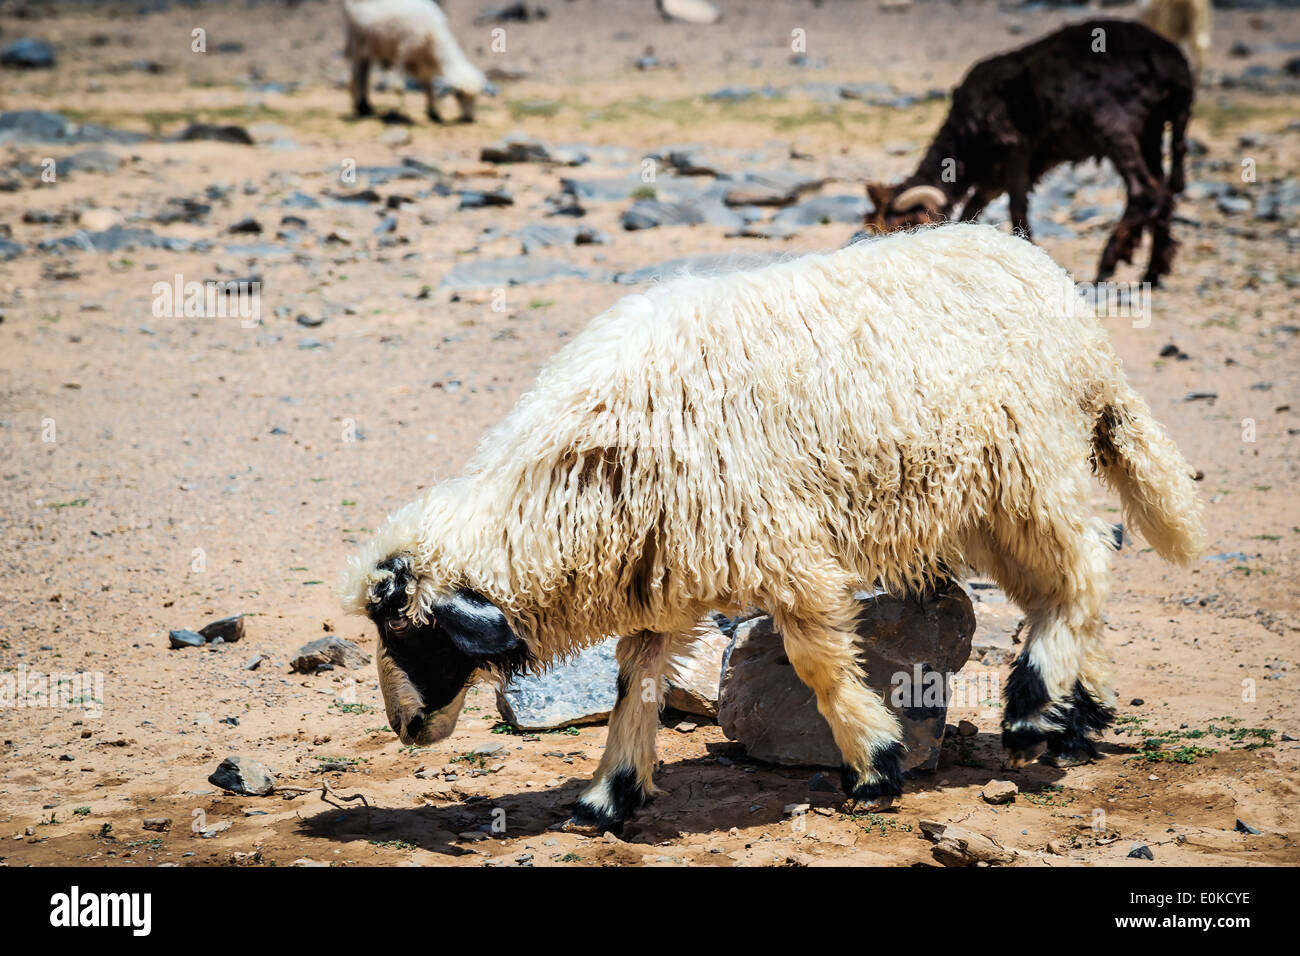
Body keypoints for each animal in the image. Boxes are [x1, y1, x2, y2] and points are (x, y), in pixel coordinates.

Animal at [341, 223, 1205, 832]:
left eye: (409, 633)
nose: (406, 728)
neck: (575, 485)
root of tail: (1056, 287)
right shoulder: (665, 567)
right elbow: (635, 683)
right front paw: (608, 795)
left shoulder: (783, 550)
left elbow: (818, 665)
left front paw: (875, 764)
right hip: (987, 499)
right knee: (1056, 591)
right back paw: (1077, 712)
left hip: (1026, 466)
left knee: (1085, 566)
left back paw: (1031, 710)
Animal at [342, 0, 487, 123]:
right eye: (459, 95)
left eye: (476, 97)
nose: (469, 118)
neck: (433, 37)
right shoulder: (403, 53)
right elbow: (398, 87)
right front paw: (397, 110)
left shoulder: (423, 64)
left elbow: (429, 87)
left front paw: (434, 113)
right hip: (358, 41)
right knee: (358, 74)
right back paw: (362, 106)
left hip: (371, 46)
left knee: (361, 73)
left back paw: (363, 106)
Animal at [863, 19, 1194, 287]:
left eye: (905, 227)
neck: (965, 134)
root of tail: (1176, 68)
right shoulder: (997, 173)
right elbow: (974, 207)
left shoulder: (1017, 152)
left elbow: (1016, 208)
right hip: (1151, 132)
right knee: (1164, 192)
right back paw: (1152, 272)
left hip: (1115, 128)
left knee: (1145, 190)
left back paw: (1108, 265)